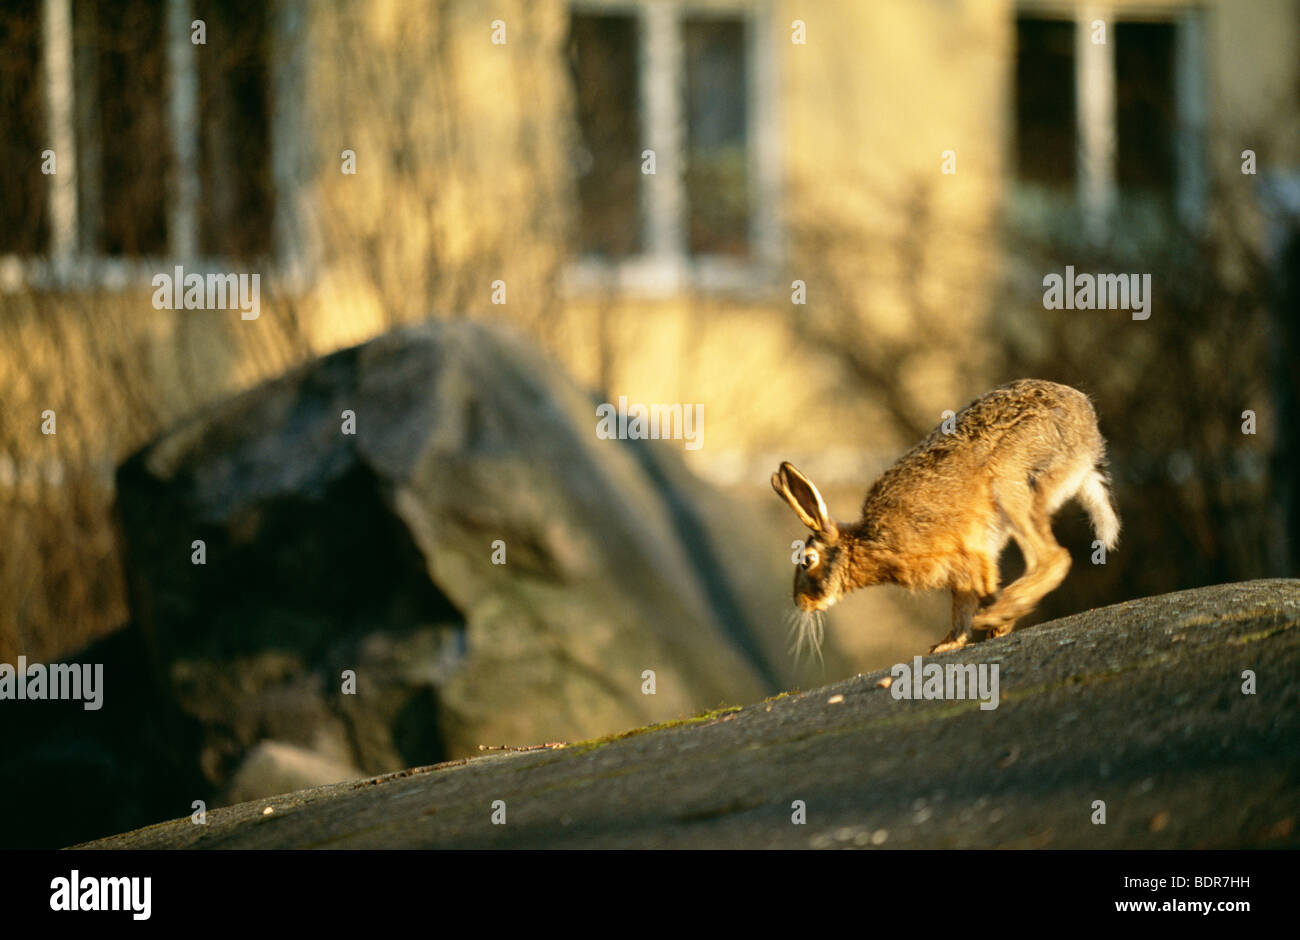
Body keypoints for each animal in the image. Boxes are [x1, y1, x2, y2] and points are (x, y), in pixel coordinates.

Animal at [772, 379, 1119, 656]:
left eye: (807, 561)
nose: (801, 603)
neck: (868, 541)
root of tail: (1087, 432)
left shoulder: (964, 552)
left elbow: (979, 590)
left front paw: (995, 622)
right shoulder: (963, 567)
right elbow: (961, 605)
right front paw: (947, 644)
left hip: (1011, 486)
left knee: (1053, 558)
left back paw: (998, 612)